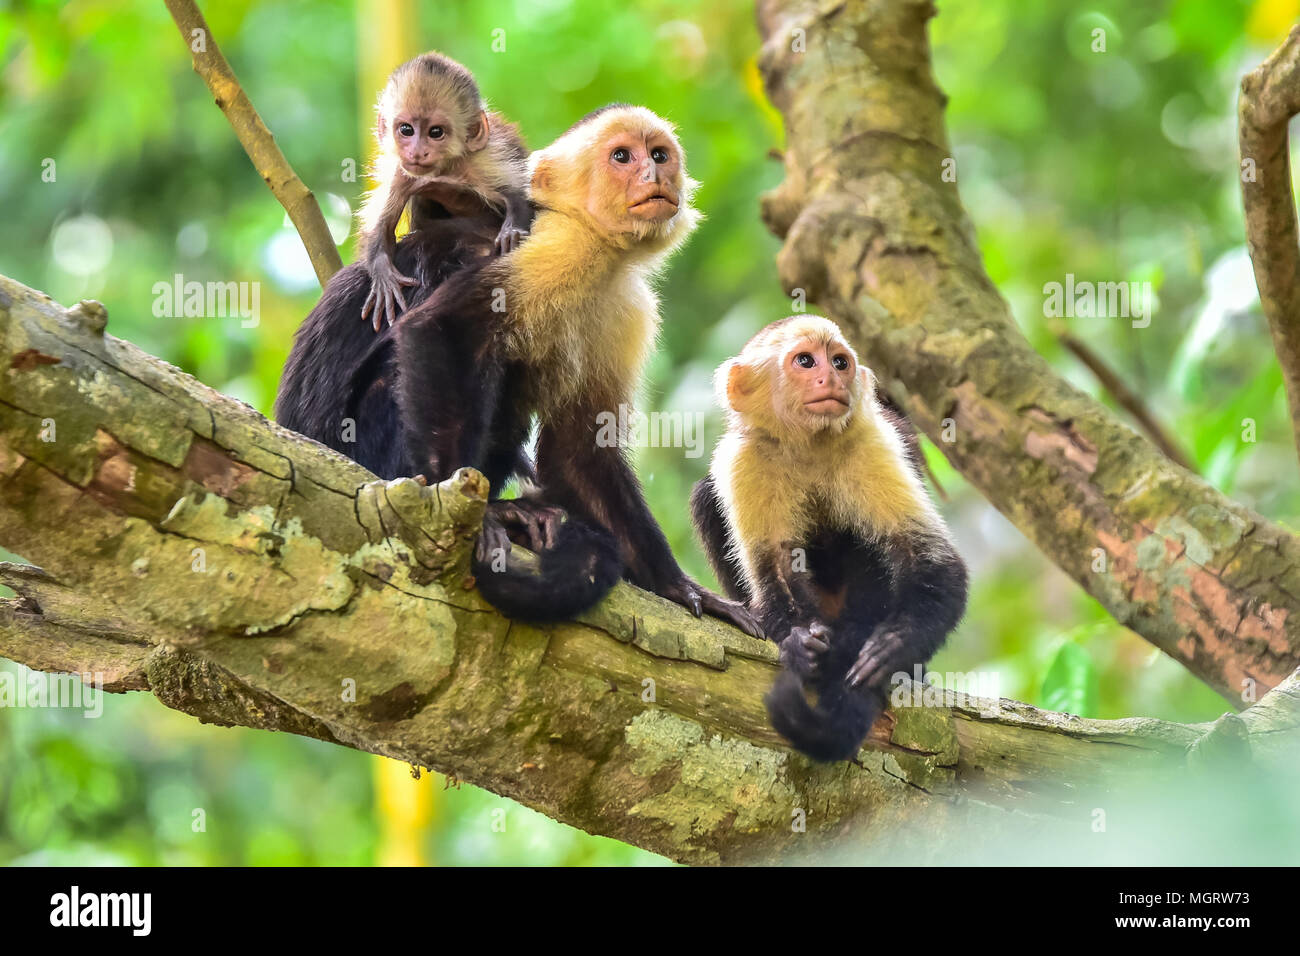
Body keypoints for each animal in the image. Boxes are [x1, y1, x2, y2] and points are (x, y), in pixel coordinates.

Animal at [358, 51, 532, 331]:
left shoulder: (482, 158)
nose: (418, 152)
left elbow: (517, 190)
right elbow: (382, 225)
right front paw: (383, 275)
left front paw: (513, 230)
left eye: (435, 132)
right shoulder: (400, 172)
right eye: (406, 129)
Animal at [690, 315, 968, 761]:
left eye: (839, 362)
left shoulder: (872, 441)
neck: (809, 445)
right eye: (806, 361)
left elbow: (930, 560)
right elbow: (775, 569)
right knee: (705, 497)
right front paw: (799, 644)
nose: (831, 378)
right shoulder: (746, 460)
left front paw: (896, 645)